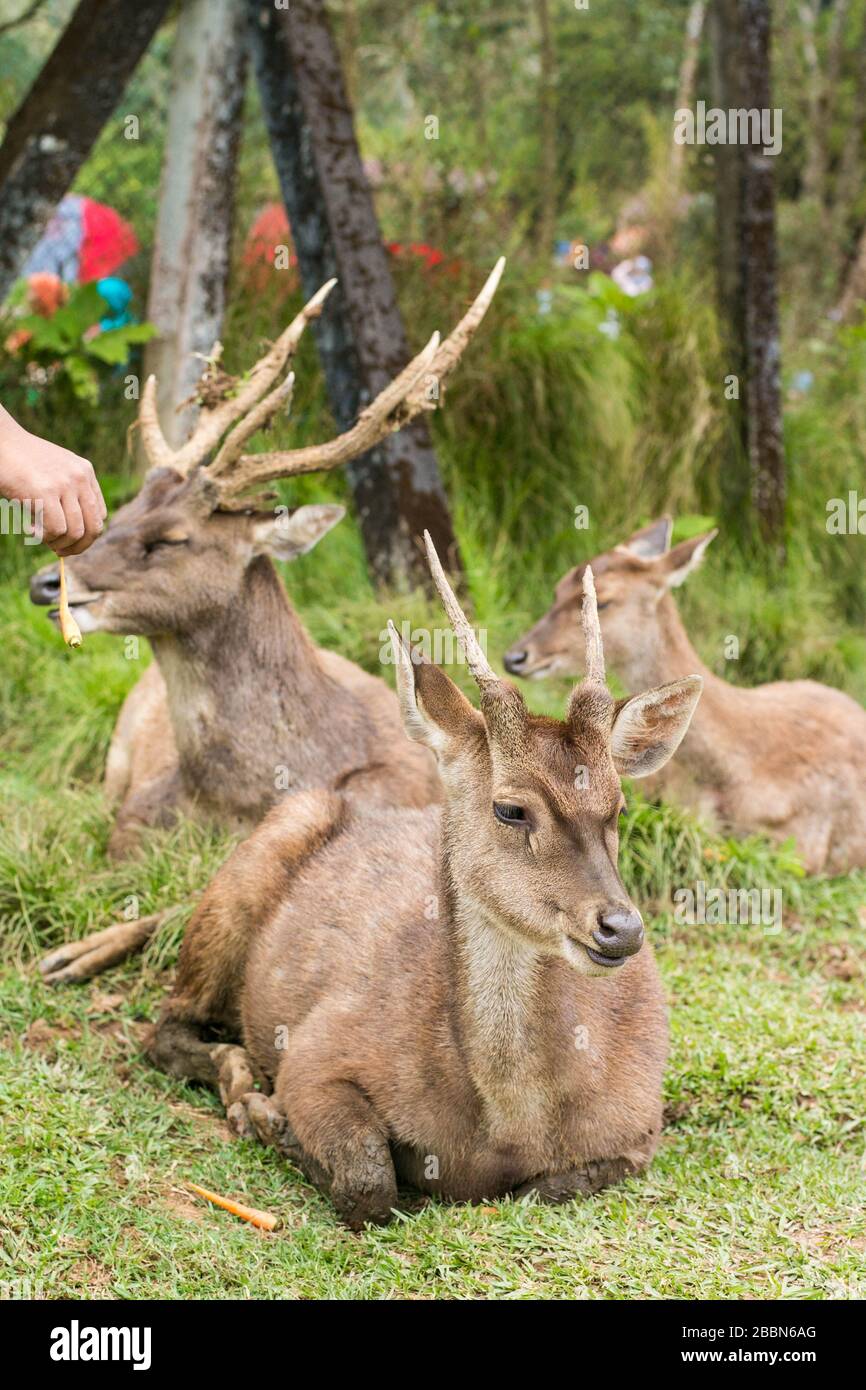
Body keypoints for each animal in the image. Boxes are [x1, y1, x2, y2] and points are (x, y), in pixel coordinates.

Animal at [30, 263, 505, 984]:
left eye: (171, 539)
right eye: (126, 507)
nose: (46, 583)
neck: (239, 796)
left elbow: (190, 899)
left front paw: (74, 952)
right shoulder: (132, 816)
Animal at [146, 533, 702, 1229]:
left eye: (620, 807)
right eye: (510, 808)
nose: (620, 929)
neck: (504, 1125)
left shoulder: (639, 1122)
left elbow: (543, 1191)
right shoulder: (318, 1048)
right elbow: (368, 1184)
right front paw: (273, 1119)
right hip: (248, 870)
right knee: (164, 1032)